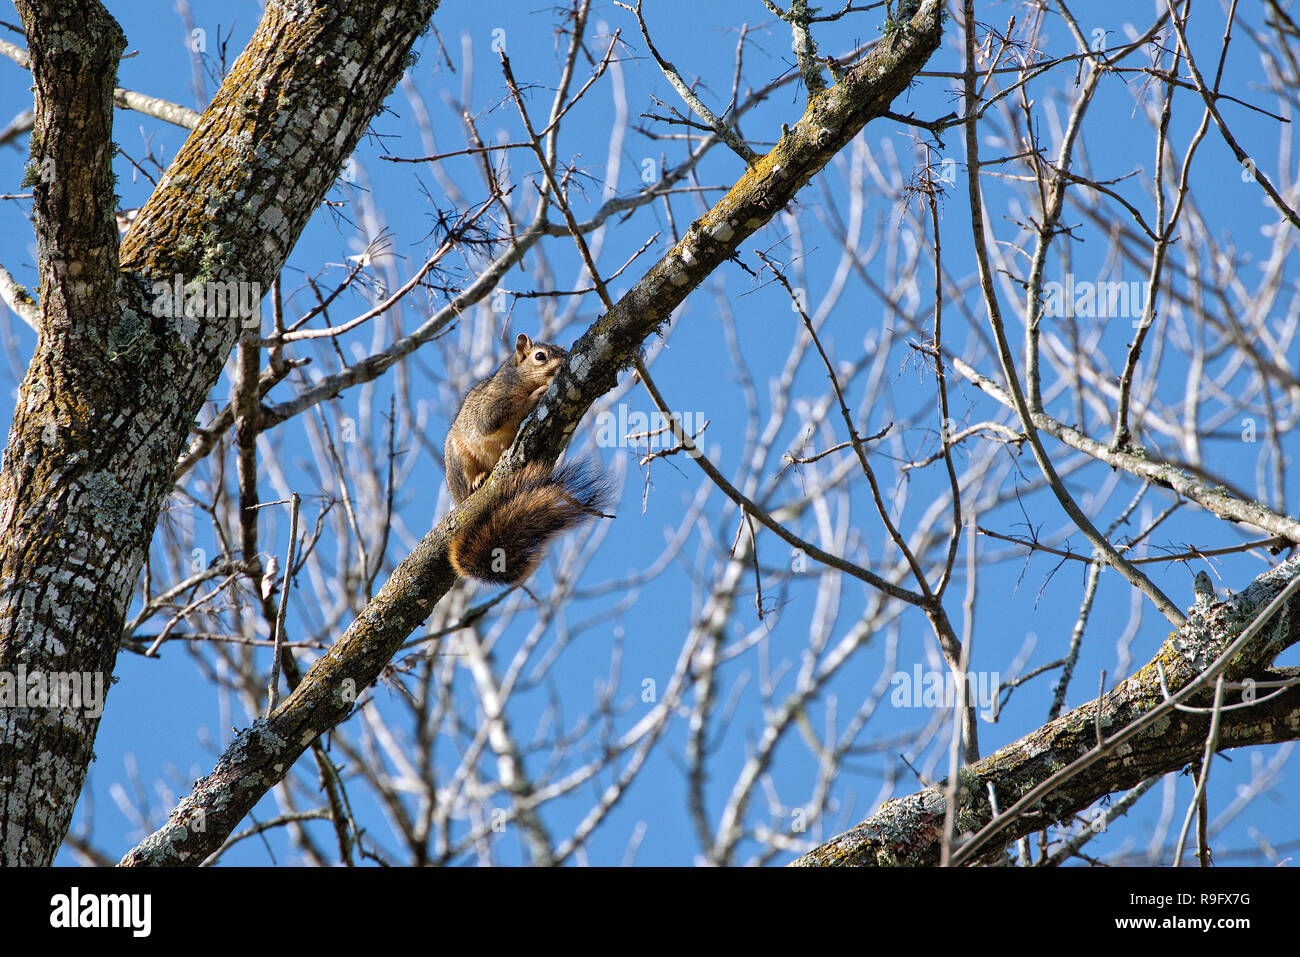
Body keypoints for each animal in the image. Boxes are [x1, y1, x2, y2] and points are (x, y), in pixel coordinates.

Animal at [443, 333, 610, 585]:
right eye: (540, 356)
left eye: (565, 352)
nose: (563, 364)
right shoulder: (490, 405)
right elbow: (494, 416)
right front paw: (538, 393)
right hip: (456, 460)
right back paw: (477, 480)